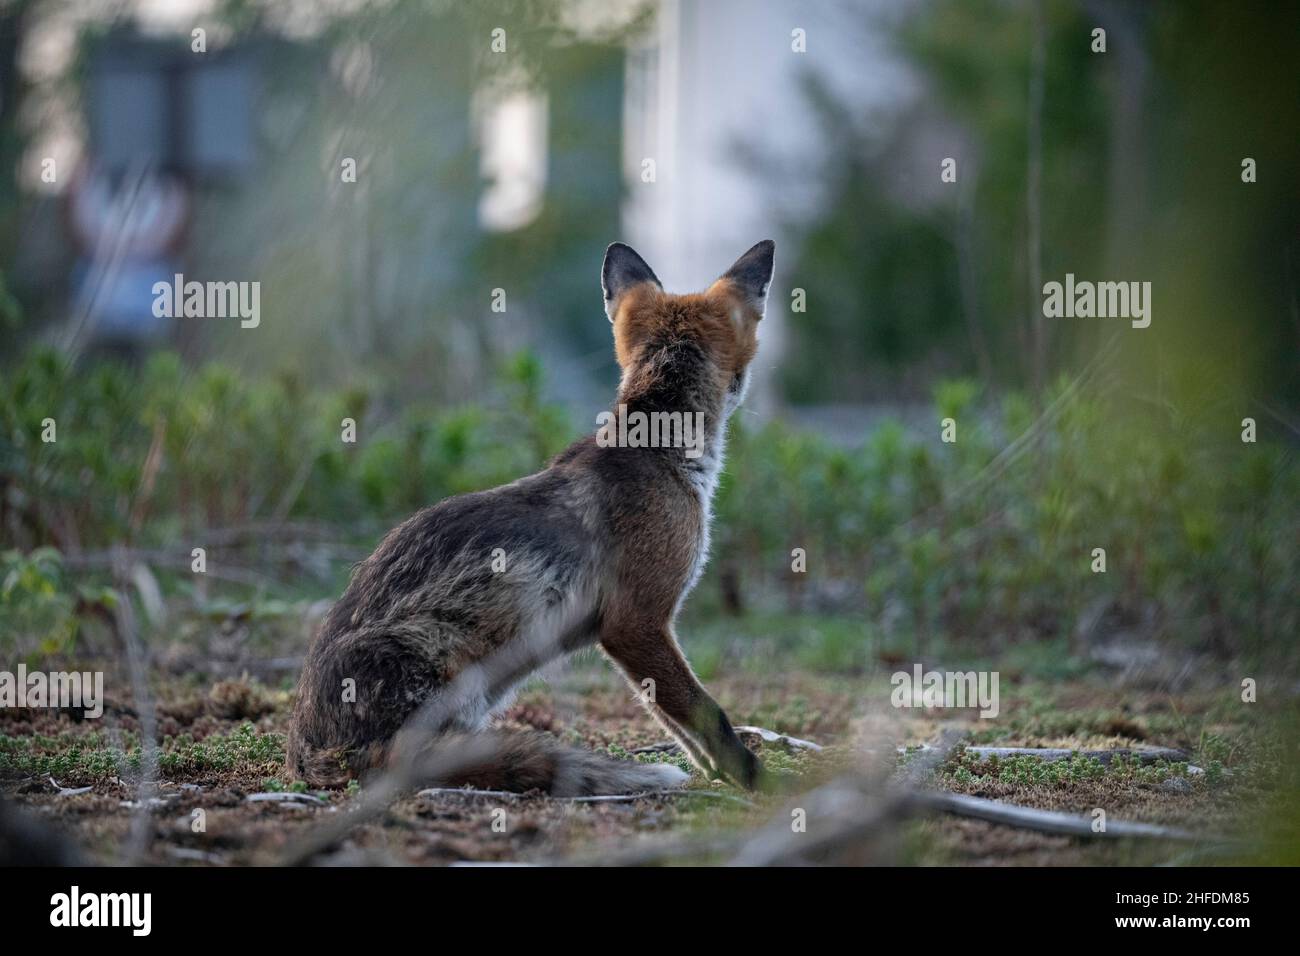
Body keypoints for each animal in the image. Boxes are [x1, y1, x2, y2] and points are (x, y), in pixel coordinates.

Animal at [286, 239, 776, 796]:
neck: (657, 447)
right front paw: (759, 782)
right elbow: (706, 713)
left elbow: (675, 723)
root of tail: (307, 751)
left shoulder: (630, 635)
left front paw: (716, 776)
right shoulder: (635, 622)